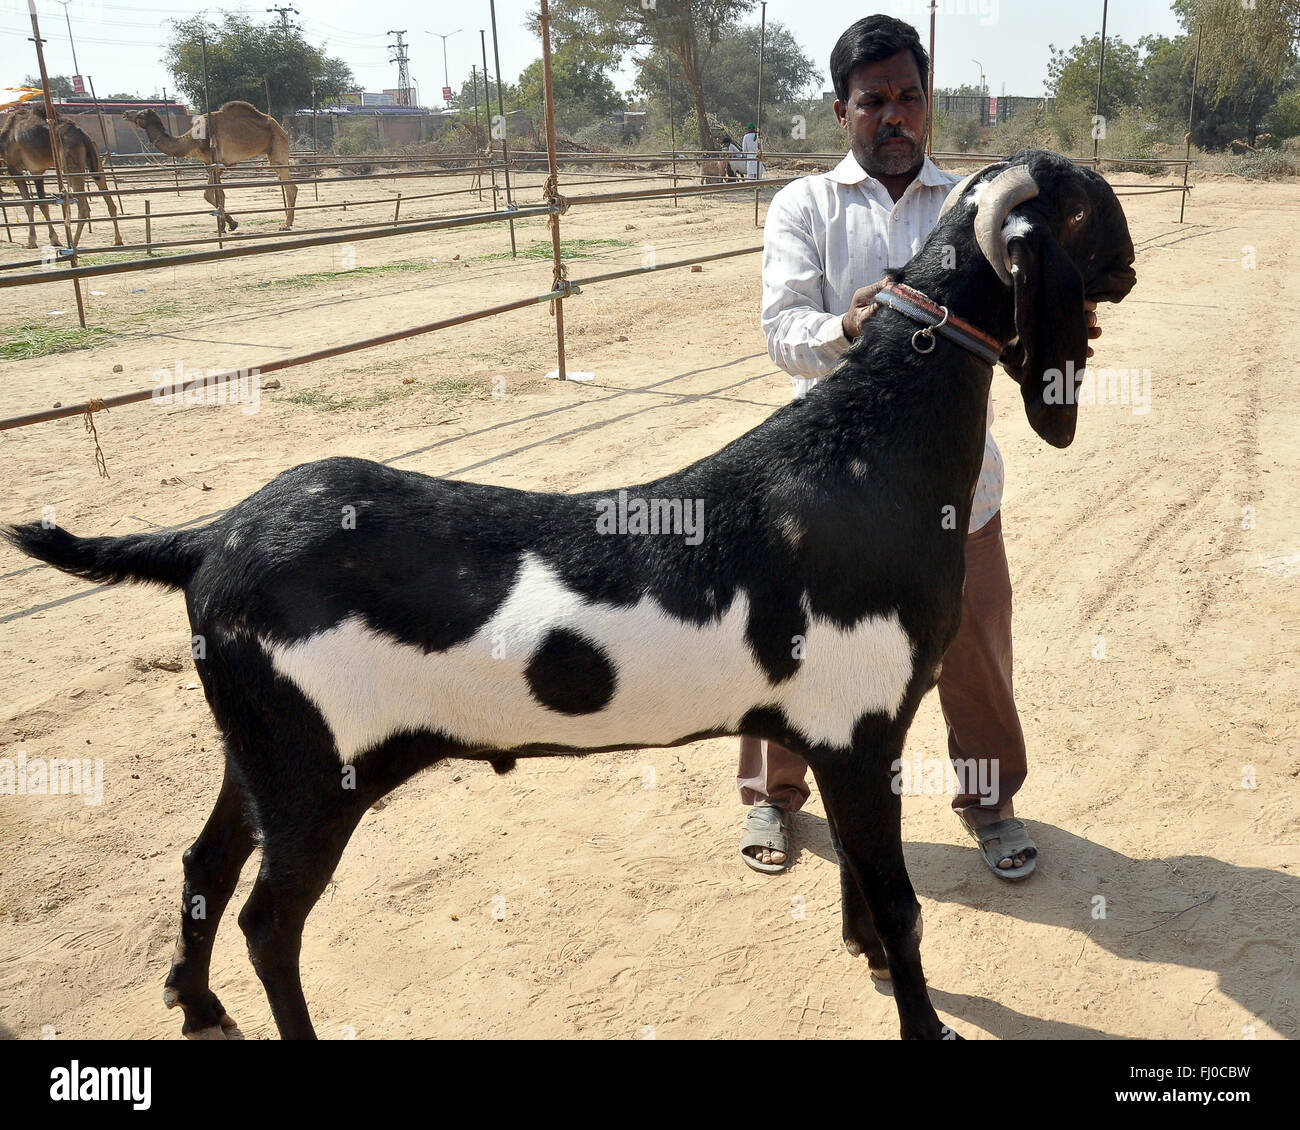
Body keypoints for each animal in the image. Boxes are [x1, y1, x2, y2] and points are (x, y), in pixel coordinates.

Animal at [6, 149, 1136, 1040]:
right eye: (1091, 207)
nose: (1128, 267)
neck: (871, 450)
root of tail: (210, 540)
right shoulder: (858, 729)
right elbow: (900, 903)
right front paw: (922, 1021)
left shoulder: (840, 734)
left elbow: (867, 883)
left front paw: (861, 954)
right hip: (314, 772)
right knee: (266, 921)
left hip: (262, 753)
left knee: (204, 864)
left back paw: (197, 1006)